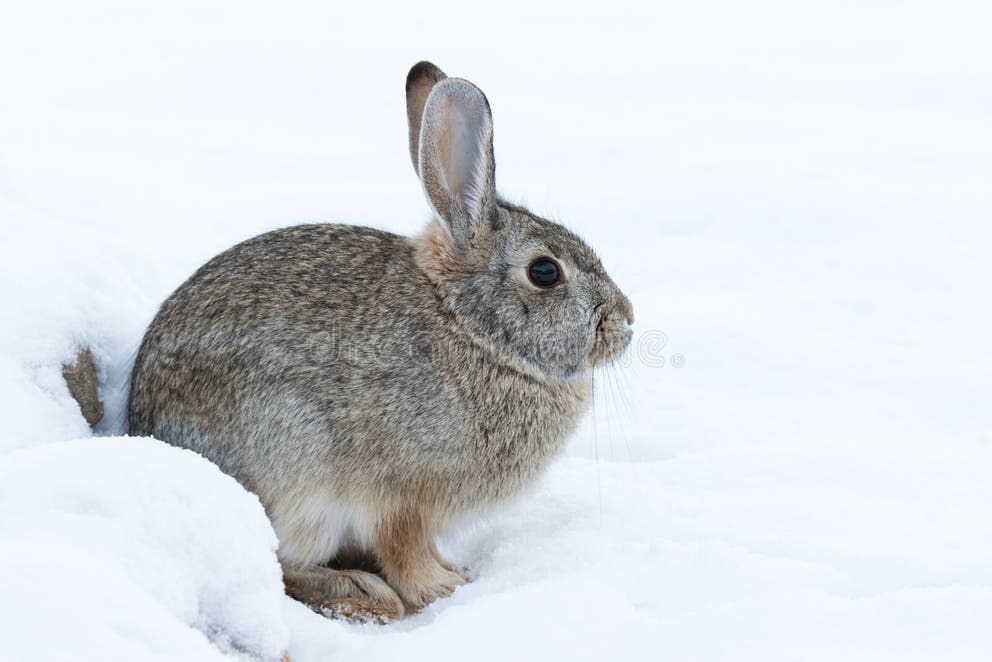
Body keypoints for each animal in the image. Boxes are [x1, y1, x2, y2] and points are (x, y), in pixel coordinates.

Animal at [127, 61, 633, 621]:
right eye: (545, 272)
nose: (626, 322)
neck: (472, 329)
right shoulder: (400, 496)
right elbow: (404, 549)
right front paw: (441, 588)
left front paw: (454, 572)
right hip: (290, 466)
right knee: (277, 563)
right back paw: (360, 593)